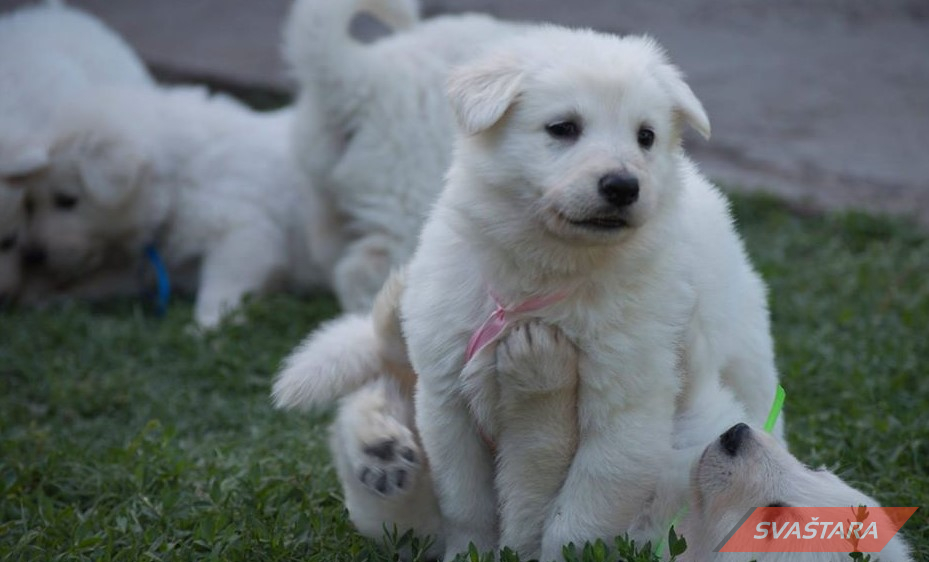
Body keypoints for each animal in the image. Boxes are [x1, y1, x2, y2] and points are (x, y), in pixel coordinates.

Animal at [15, 85, 338, 326]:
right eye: (29, 204)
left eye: (66, 200)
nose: (33, 256)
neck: (176, 180)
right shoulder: (159, 268)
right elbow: (105, 281)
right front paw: (46, 294)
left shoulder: (245, 232)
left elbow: (222, 284)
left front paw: (208, 326)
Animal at [404, 25, 784, 556]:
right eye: (562, 127)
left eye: (645, 136)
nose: (623, 186)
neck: (552, 272)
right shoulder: (444, 395)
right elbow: (465, 502)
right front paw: (467, 553)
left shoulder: (627, 404)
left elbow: (580, 515)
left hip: (746, 360)